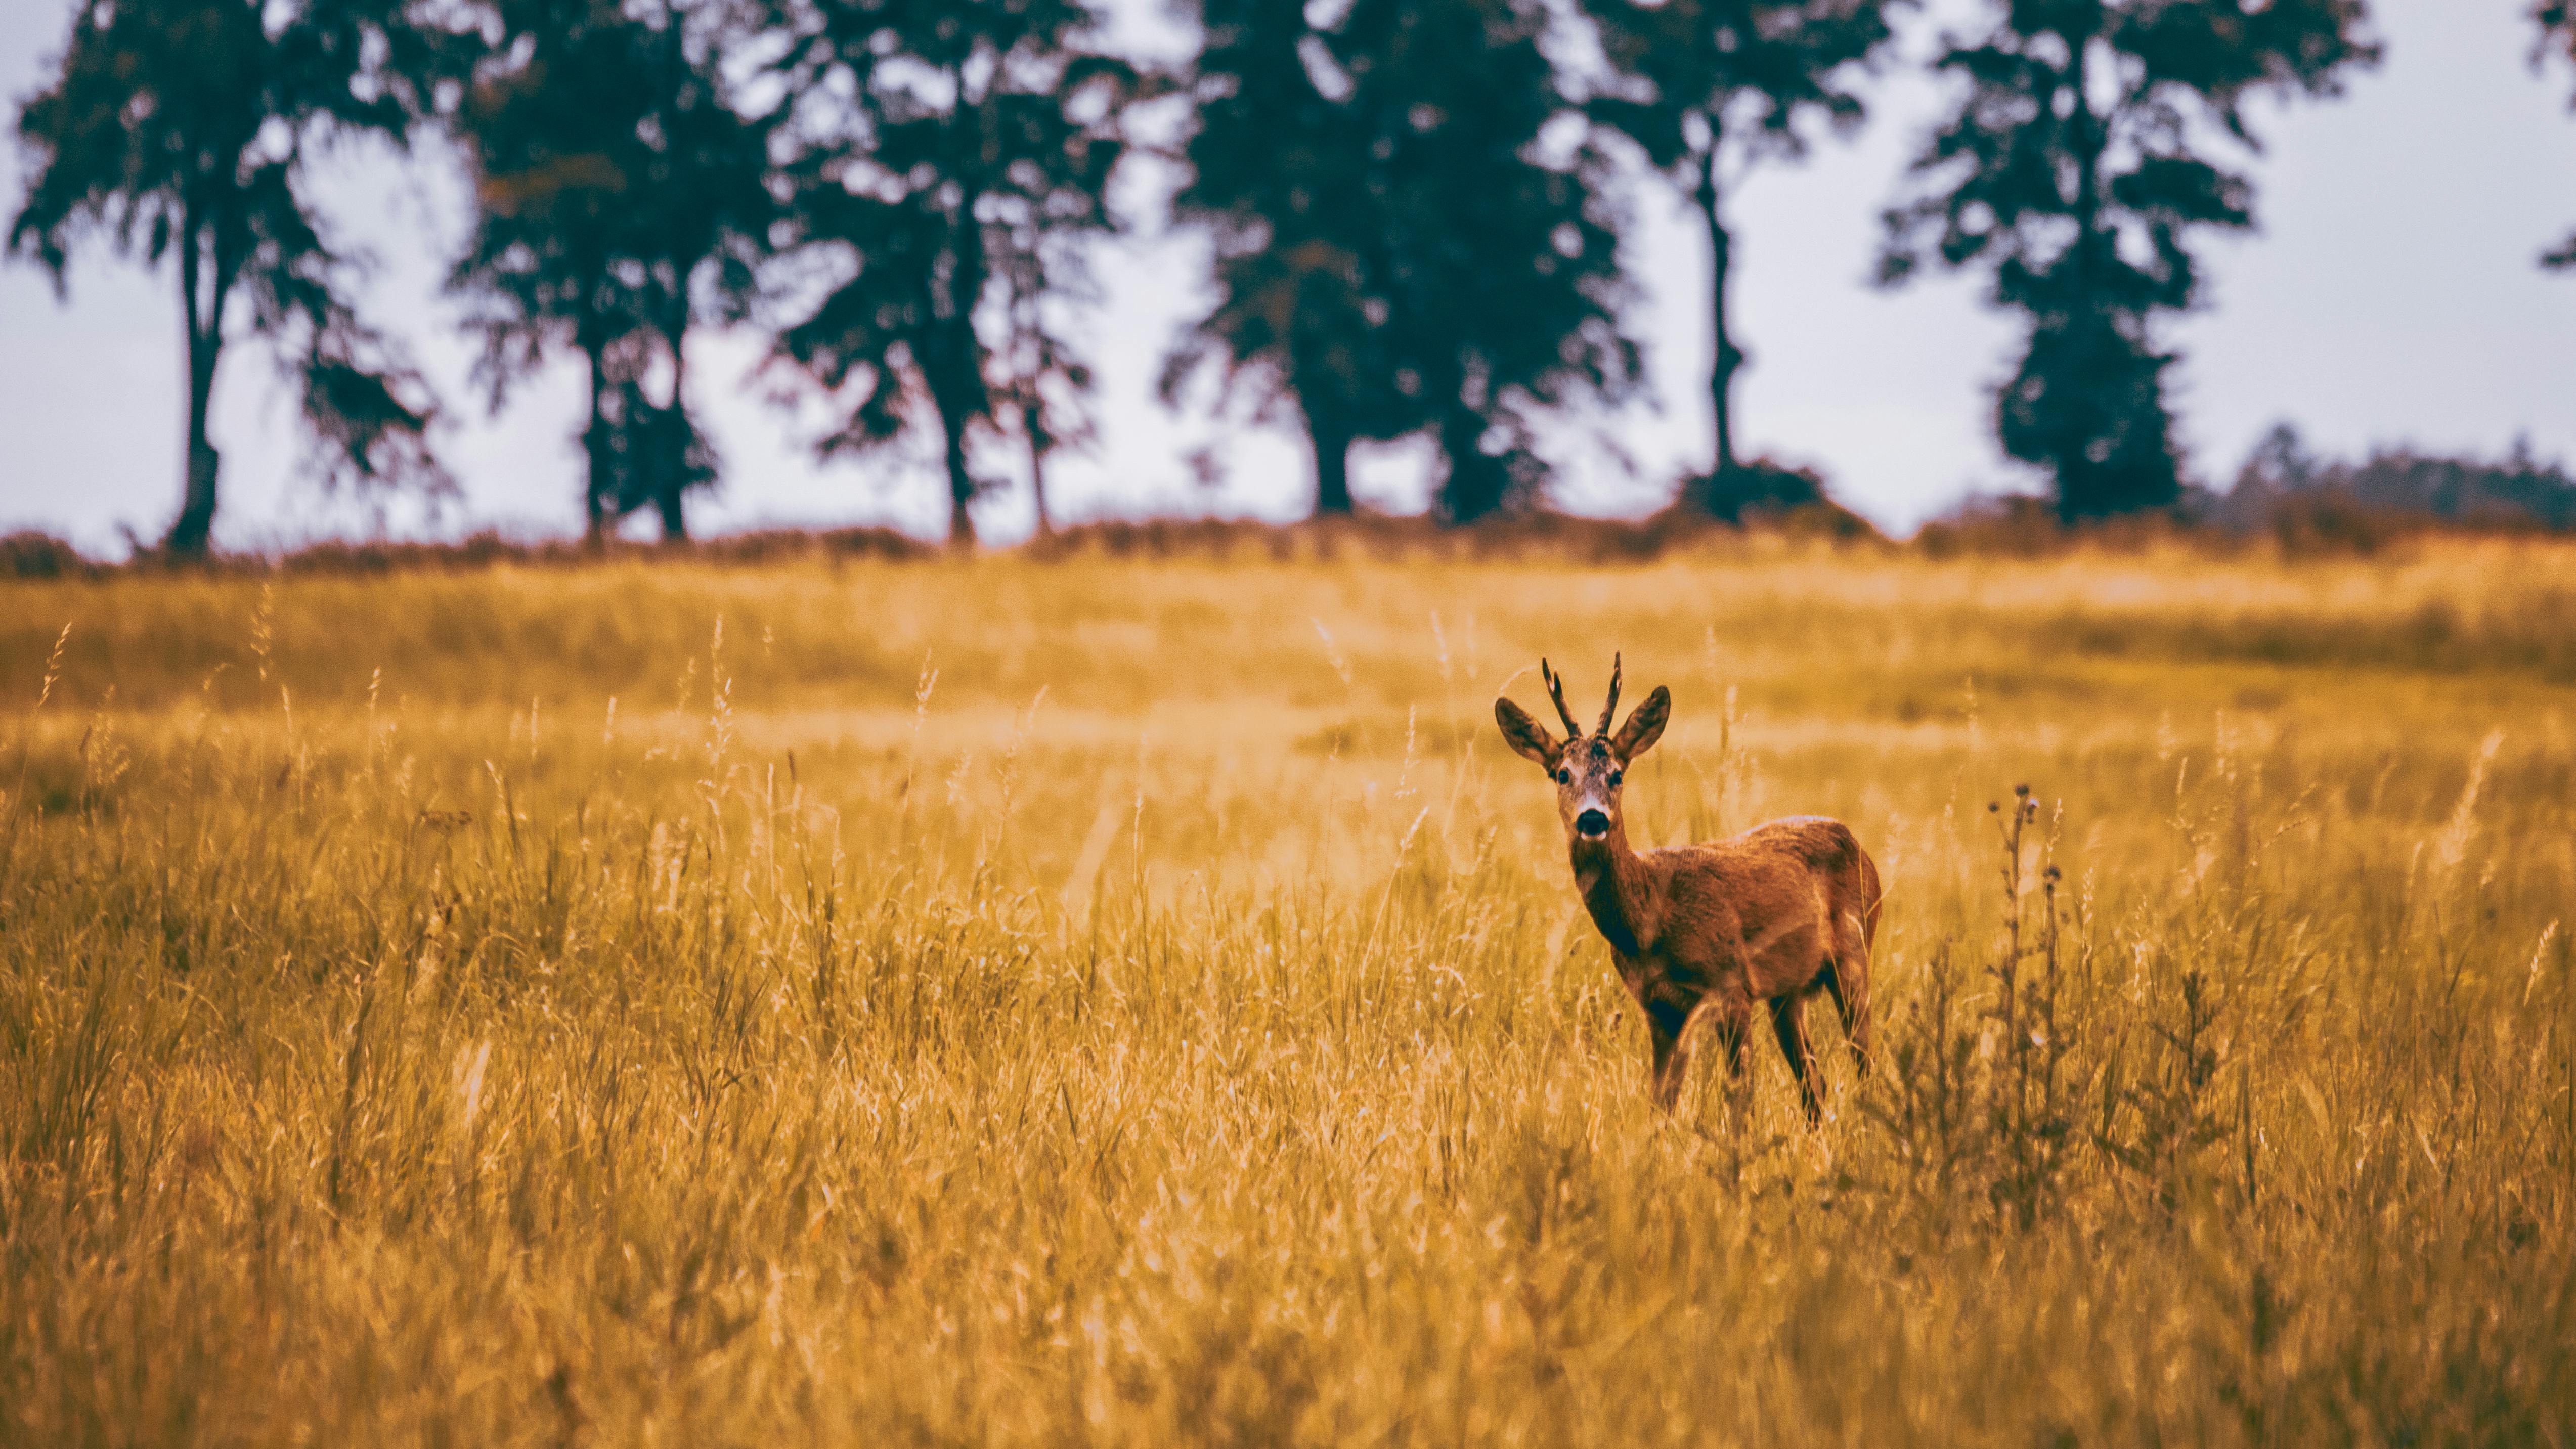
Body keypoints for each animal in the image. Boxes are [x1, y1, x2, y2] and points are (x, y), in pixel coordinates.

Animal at [1495, 656, 1881, 1119]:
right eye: (1561, 774)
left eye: (1617, 774)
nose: (1592, 818)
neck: (1651, 914)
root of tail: (1859, 845)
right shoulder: (1659, 1008)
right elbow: (1659, 1105)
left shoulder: (1731, 985)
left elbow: (1741, 1098)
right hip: (1787, 992)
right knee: (1813, 1082)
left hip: (1854, 956)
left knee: (1865, 1064)